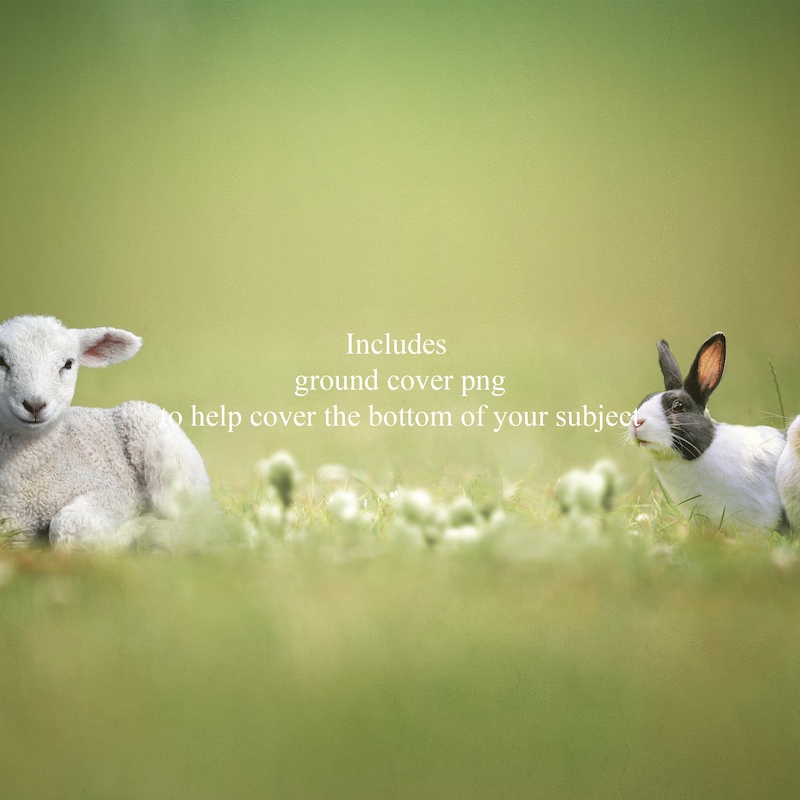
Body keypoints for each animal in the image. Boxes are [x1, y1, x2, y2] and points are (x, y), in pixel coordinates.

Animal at [0, 315, 210, 549]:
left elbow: (66, 524)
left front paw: (128, 534)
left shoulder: (113, 492)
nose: (34, 405)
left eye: (68, 364)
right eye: (1, 361)